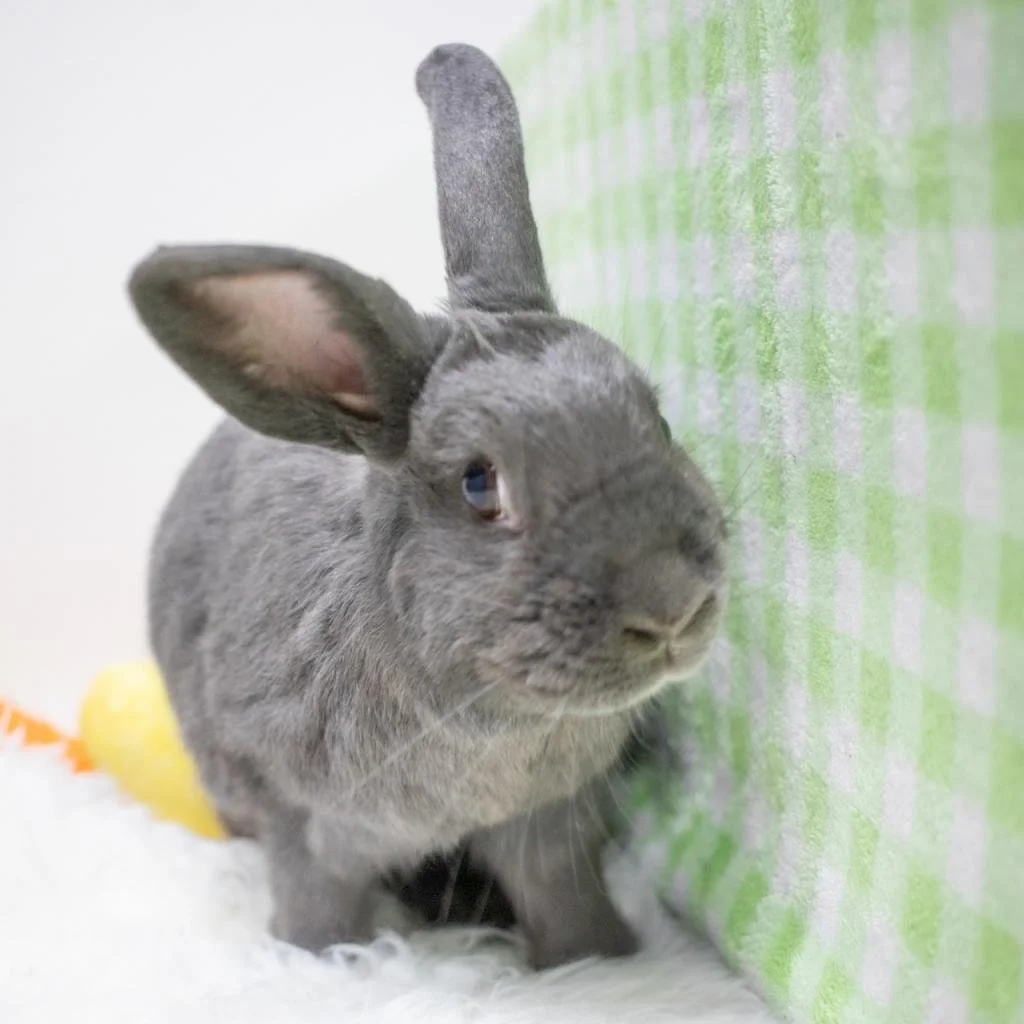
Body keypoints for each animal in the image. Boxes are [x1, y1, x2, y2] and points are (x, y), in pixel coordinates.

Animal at [128, 43, 727, 970]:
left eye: (656, 419)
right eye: (481, 486)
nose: (672, 603)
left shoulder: (548, 821)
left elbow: (563, 894)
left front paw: (598, 959)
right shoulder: (301, 822)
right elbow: (315, 901)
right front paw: (317, 962)